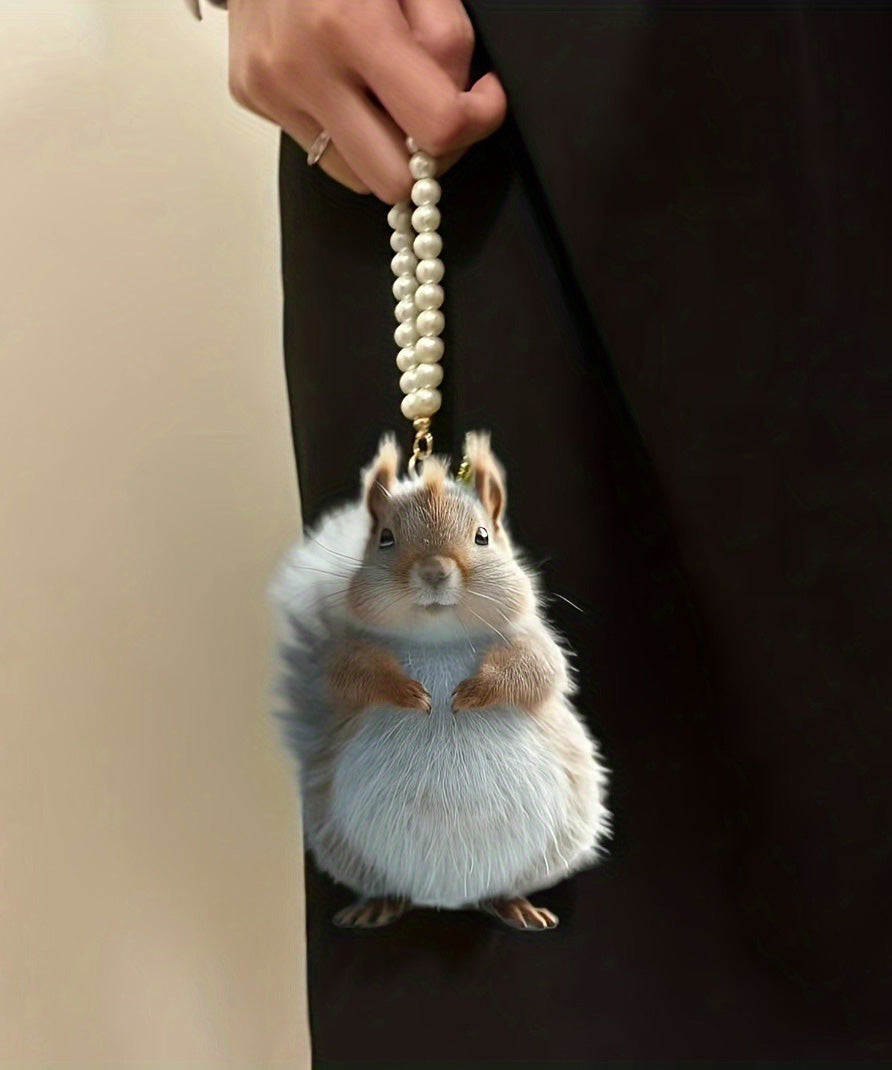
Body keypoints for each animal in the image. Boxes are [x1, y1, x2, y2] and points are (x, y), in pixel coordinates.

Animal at [270, 431, 609, 931]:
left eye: (483, 536)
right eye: (385, 538)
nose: (433, 571)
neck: (438, 638)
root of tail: (446, 896)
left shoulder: (533, 644)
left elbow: (535, 673)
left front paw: (472, 694)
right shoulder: (348, 652)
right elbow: (353, 678)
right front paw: (408, 693)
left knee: (498, 889)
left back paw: (514, 905)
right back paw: (379, 905)